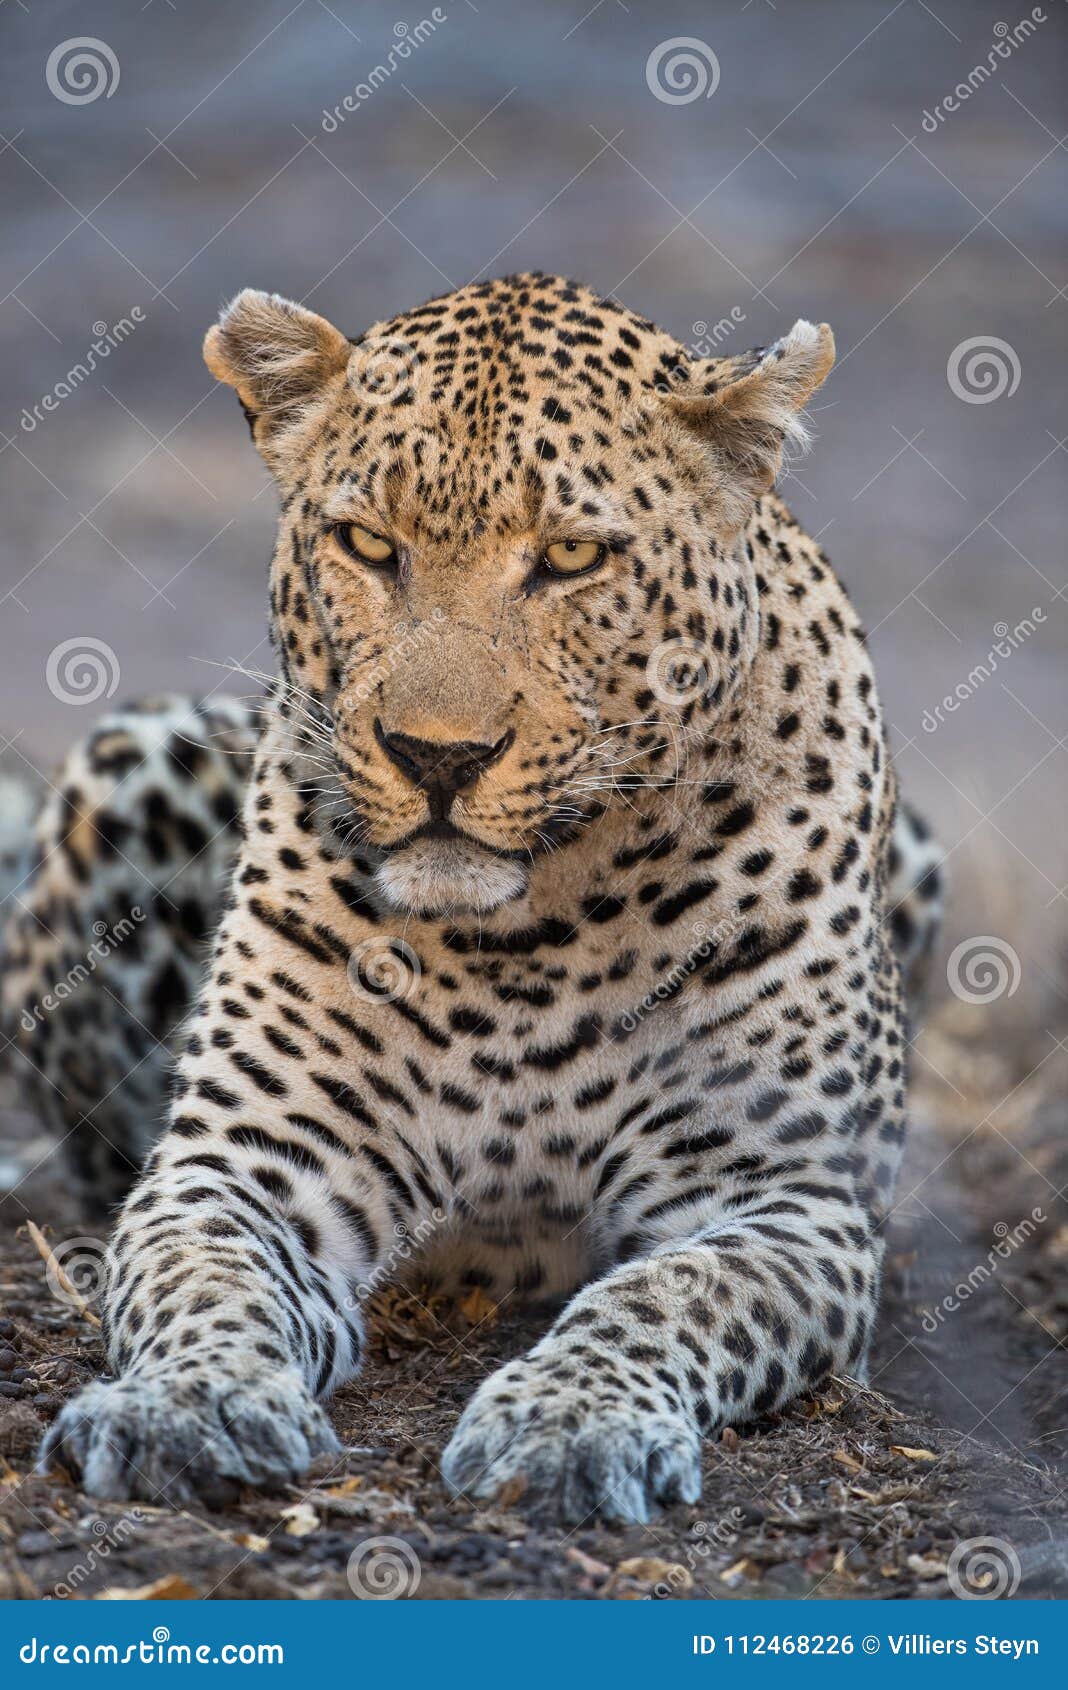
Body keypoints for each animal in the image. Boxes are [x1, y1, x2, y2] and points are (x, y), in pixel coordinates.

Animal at [1, 272, 944, 1523]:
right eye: (367, 543)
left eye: (572, 557)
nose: (436, 757)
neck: (529, 934)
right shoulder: (246, 1158)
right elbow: (203, 1278)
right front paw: (183, 1401)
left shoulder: (781, 1196)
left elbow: (662, 1297)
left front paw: (571, 1421)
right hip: (121, 765)